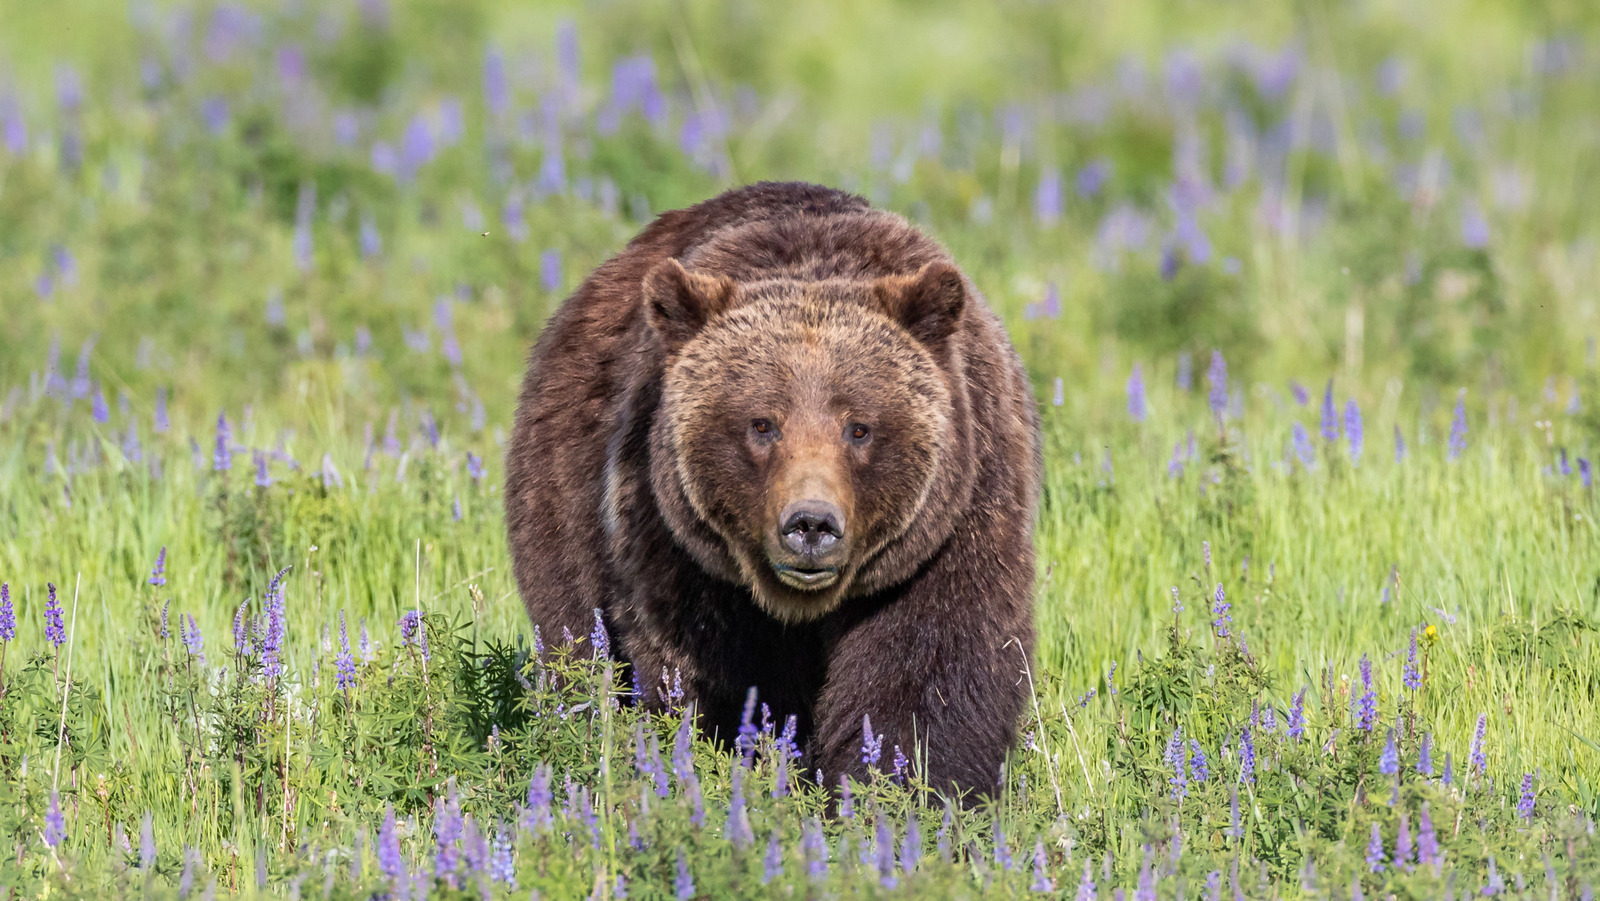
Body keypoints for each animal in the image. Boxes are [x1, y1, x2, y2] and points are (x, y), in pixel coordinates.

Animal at [504, 181, 1039, 797]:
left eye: (859, 427)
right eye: (762, 424)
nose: (811, 524)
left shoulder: (948, 529)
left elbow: (929, 672)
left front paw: (903, 789)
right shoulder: (680, 548)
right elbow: (716, 674)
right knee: (572, 632)